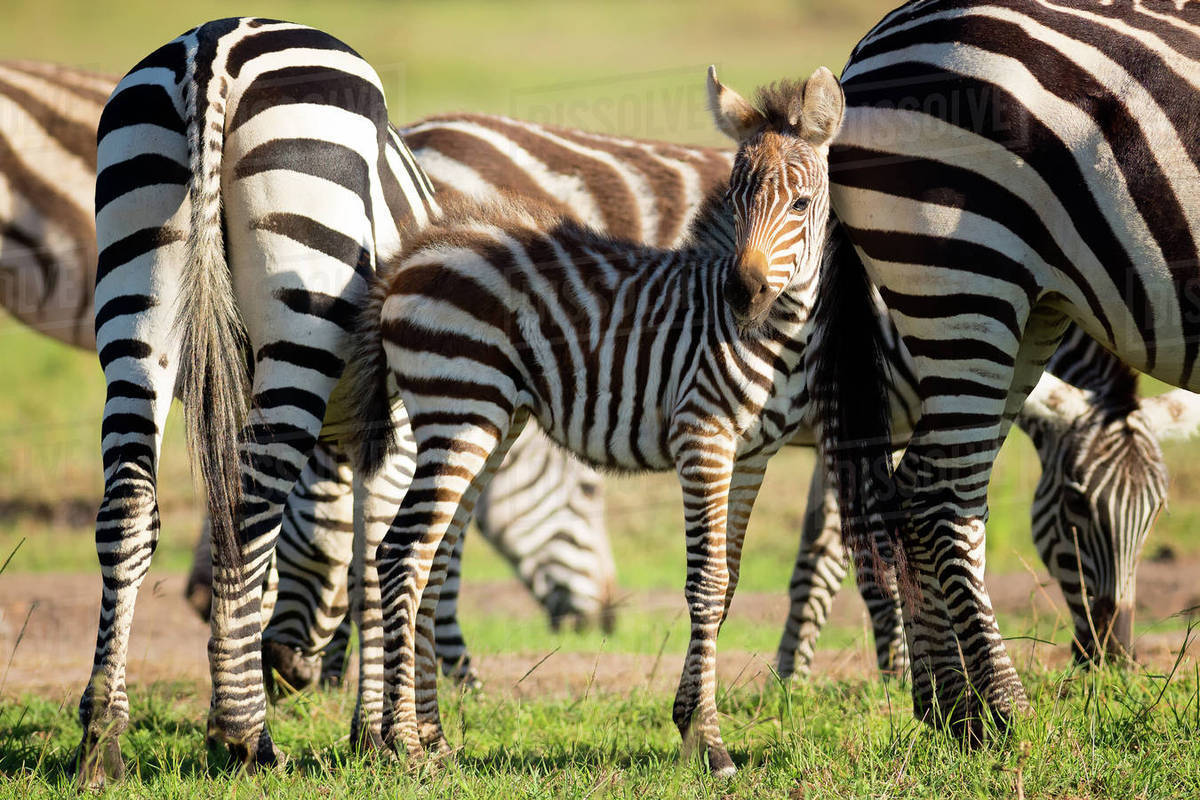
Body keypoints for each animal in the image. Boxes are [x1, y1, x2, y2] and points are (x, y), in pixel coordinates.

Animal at [344, 66, 844, 776]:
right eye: (737, 201)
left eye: (800, 205)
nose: (740, 296)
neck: (777, 336)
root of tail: (411, 257)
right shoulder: (703, 437)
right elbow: (706, 581)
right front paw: (710, 742)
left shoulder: (753, 456)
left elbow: (729, 583)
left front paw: (690, 723)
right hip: (456, 411)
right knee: (400, 554)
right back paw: (405, 745)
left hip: (489, 423)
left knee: (433, 560)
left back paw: (435, 739)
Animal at [797, 0, 1200, 740]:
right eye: (1076, 506)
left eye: (1157, 509)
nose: (1114, 658)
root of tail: (869, 42)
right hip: (965, 272)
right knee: (938, 499)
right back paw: (1000, 712)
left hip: (1025, 310)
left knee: (920, 493)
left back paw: (949, 708)